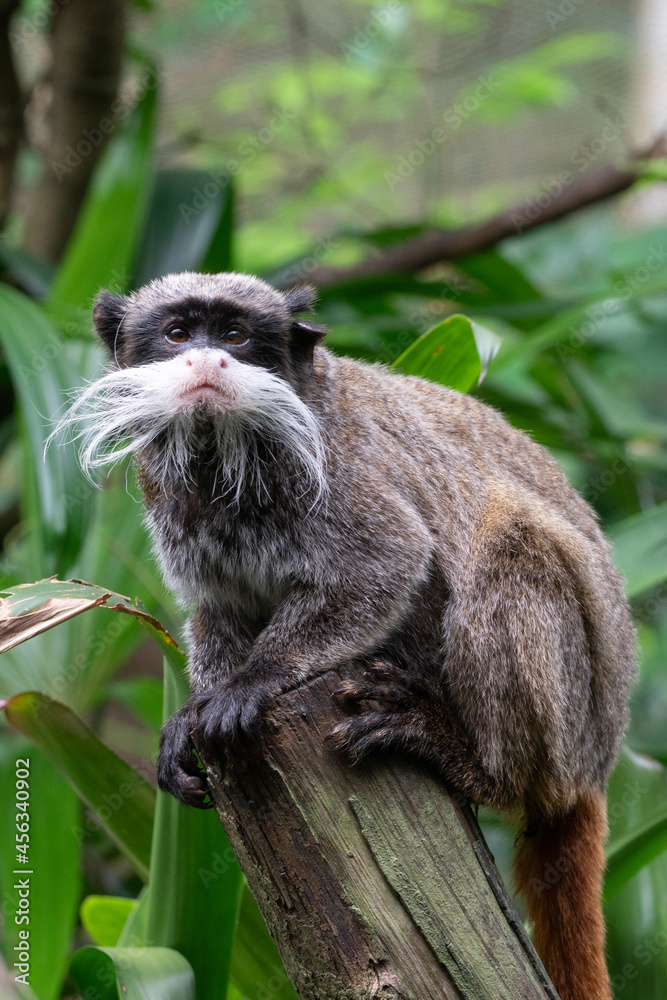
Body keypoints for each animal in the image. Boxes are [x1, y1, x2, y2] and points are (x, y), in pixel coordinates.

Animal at [56, 270, 636, 1000]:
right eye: (178, 333)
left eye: (235, 336)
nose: (207, 361)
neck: (229, 458)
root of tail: (597, 757)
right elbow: (219, 613)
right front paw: (189, 721)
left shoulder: (340, 475)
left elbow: (388, 564)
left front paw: (252, 683)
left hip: (572, 713)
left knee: (510, 541)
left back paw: (472, 761)